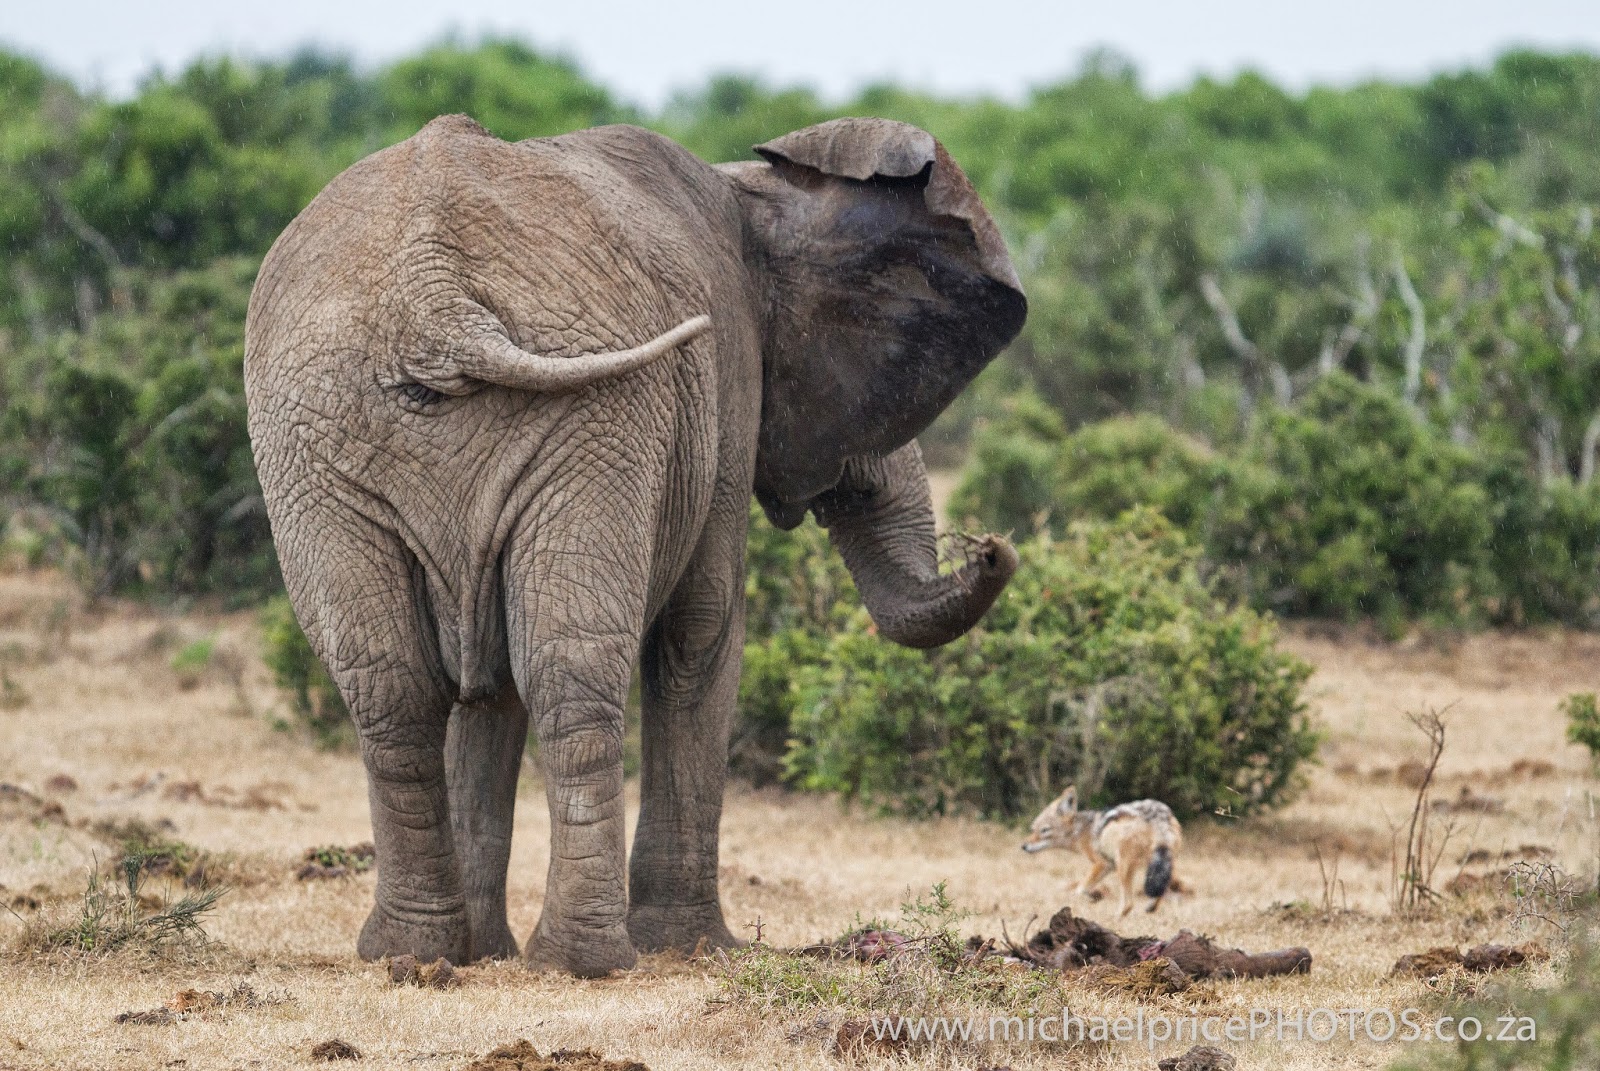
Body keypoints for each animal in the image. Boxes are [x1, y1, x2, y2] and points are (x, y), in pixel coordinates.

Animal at [244, 114, 1026, 977]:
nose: (992, 546)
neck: (756, 194)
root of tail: (436, 296)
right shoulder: (727, 376)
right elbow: (702, 630)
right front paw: (692, 945)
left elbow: (491, 685)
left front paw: (484, 954)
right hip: (586, 417)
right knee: (572, 665)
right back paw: (585, 958)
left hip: (323, 434)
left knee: (398, 685)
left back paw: (411, 950)